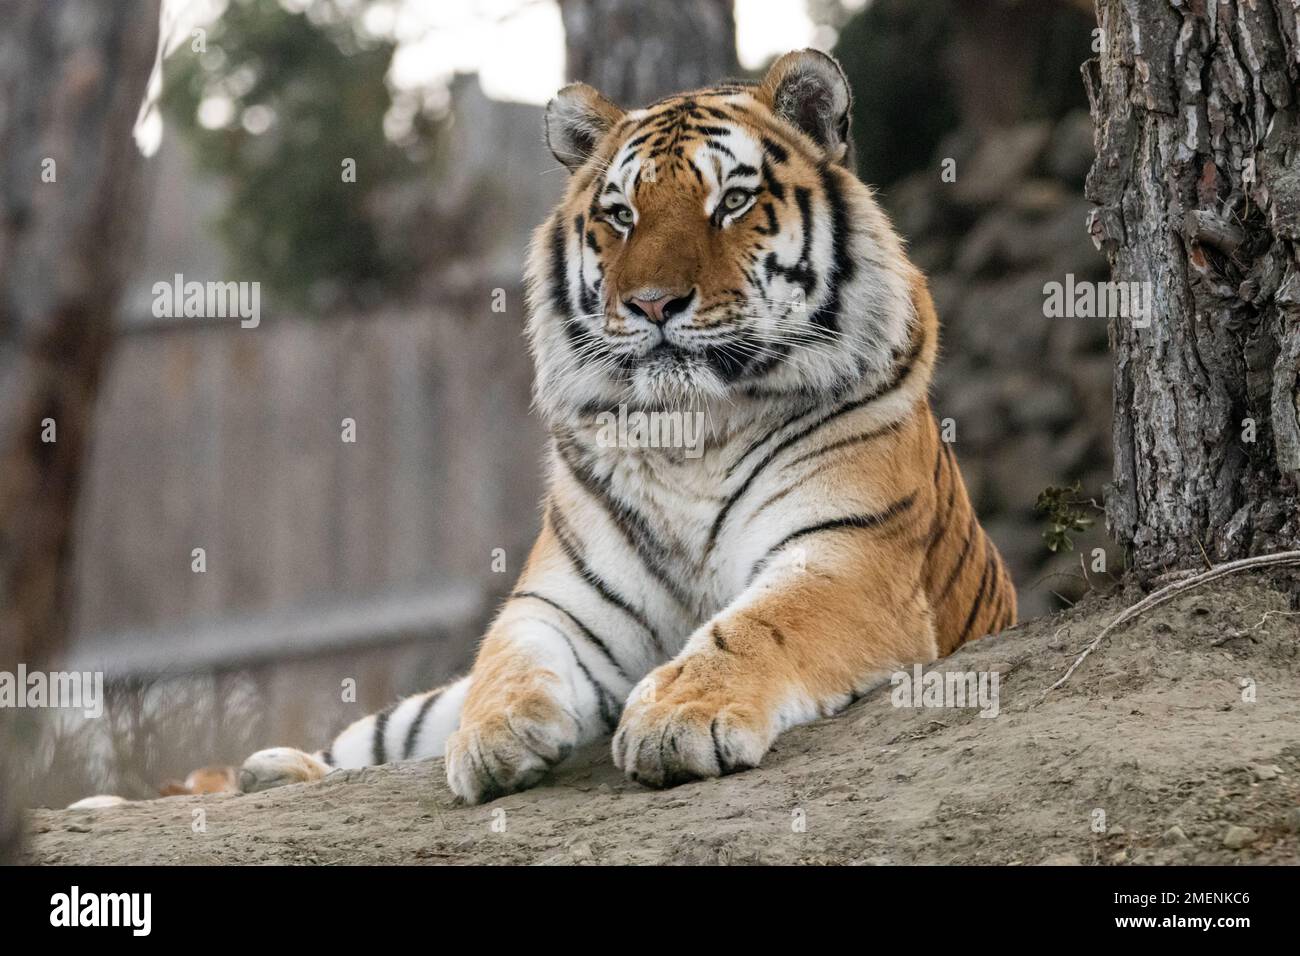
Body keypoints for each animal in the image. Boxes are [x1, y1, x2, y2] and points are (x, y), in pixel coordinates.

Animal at [238, 49, 1016, 804]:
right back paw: (269, 772)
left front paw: (679, 715)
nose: (652, 303)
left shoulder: (847, 555)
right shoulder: (563, 599)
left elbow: (756, 627)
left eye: (733, 201)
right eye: (620, 213)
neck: (693, 435)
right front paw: (494, 733)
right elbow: (506, 658)